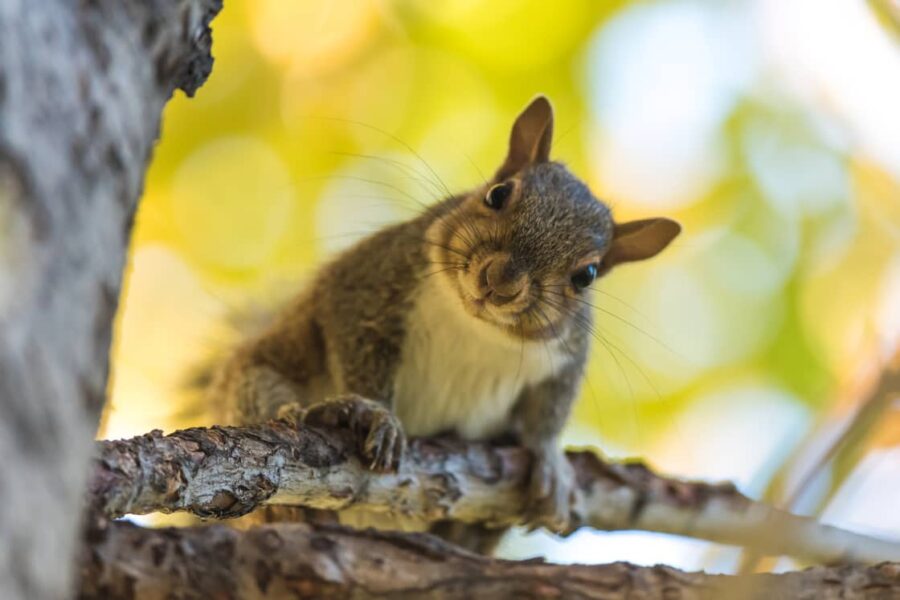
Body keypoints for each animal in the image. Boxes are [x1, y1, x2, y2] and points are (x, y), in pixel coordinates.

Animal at [205, 96, 681, 551]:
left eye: (587, 275)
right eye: (498, 194)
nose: (500, 280)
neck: (475, 322)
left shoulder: (565, 355)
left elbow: (550, 410)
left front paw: (550, 463)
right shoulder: (368, 283)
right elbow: (357, 346)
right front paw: (376, 414)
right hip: (255, 377)